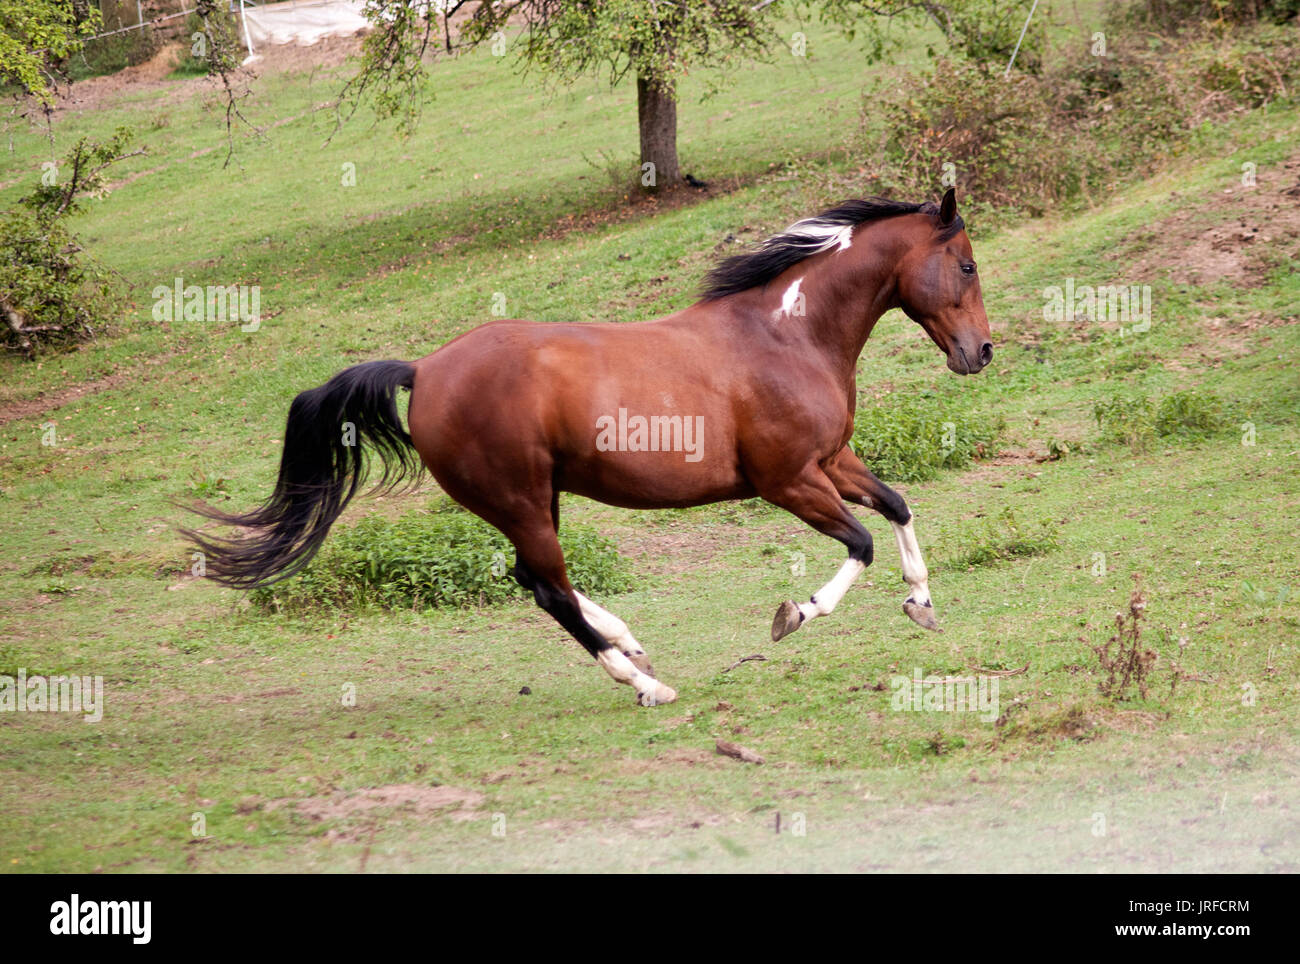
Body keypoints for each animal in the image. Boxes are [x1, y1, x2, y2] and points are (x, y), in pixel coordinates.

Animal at [186, 188, 992, 707]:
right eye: (968, 265)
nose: (981, 352)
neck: (784, 335)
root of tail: (424, 370)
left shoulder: (832, 463)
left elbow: (897, 506)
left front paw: (921, 603)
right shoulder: (789, 480)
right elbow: (859, 543)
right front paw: (794, 614)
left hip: (536, 499)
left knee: (539, 580)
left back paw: (632, 646)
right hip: (519, 500)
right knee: (547, 588)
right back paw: (646, 683)